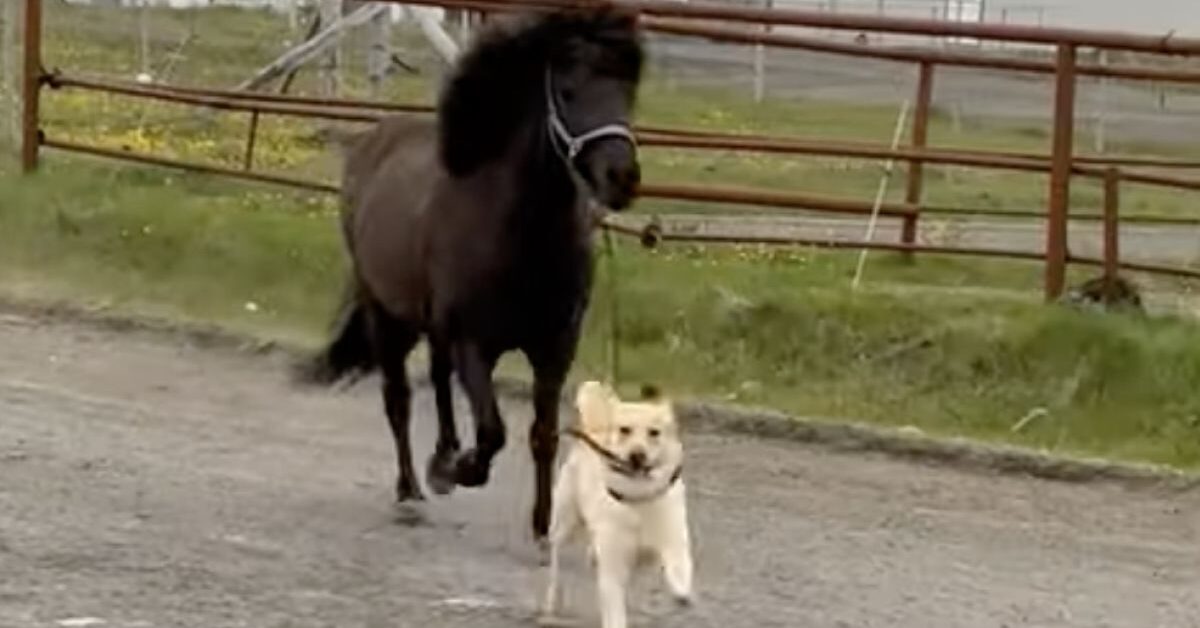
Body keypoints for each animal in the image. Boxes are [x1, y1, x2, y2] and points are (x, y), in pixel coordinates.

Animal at [296, 6, 646, 543]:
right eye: (568, 90)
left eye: (627, 90)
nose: (621, 178)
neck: (522, 238)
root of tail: (370, 140)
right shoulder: (474, 343)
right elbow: (492, 432)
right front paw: (460, 471)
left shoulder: (554, 347)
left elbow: (542, 435)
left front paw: (542, 526)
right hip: (388, 317)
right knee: (398, 399)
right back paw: (412, 489)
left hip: (431, 324)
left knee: (438, 381)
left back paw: (439, 459)